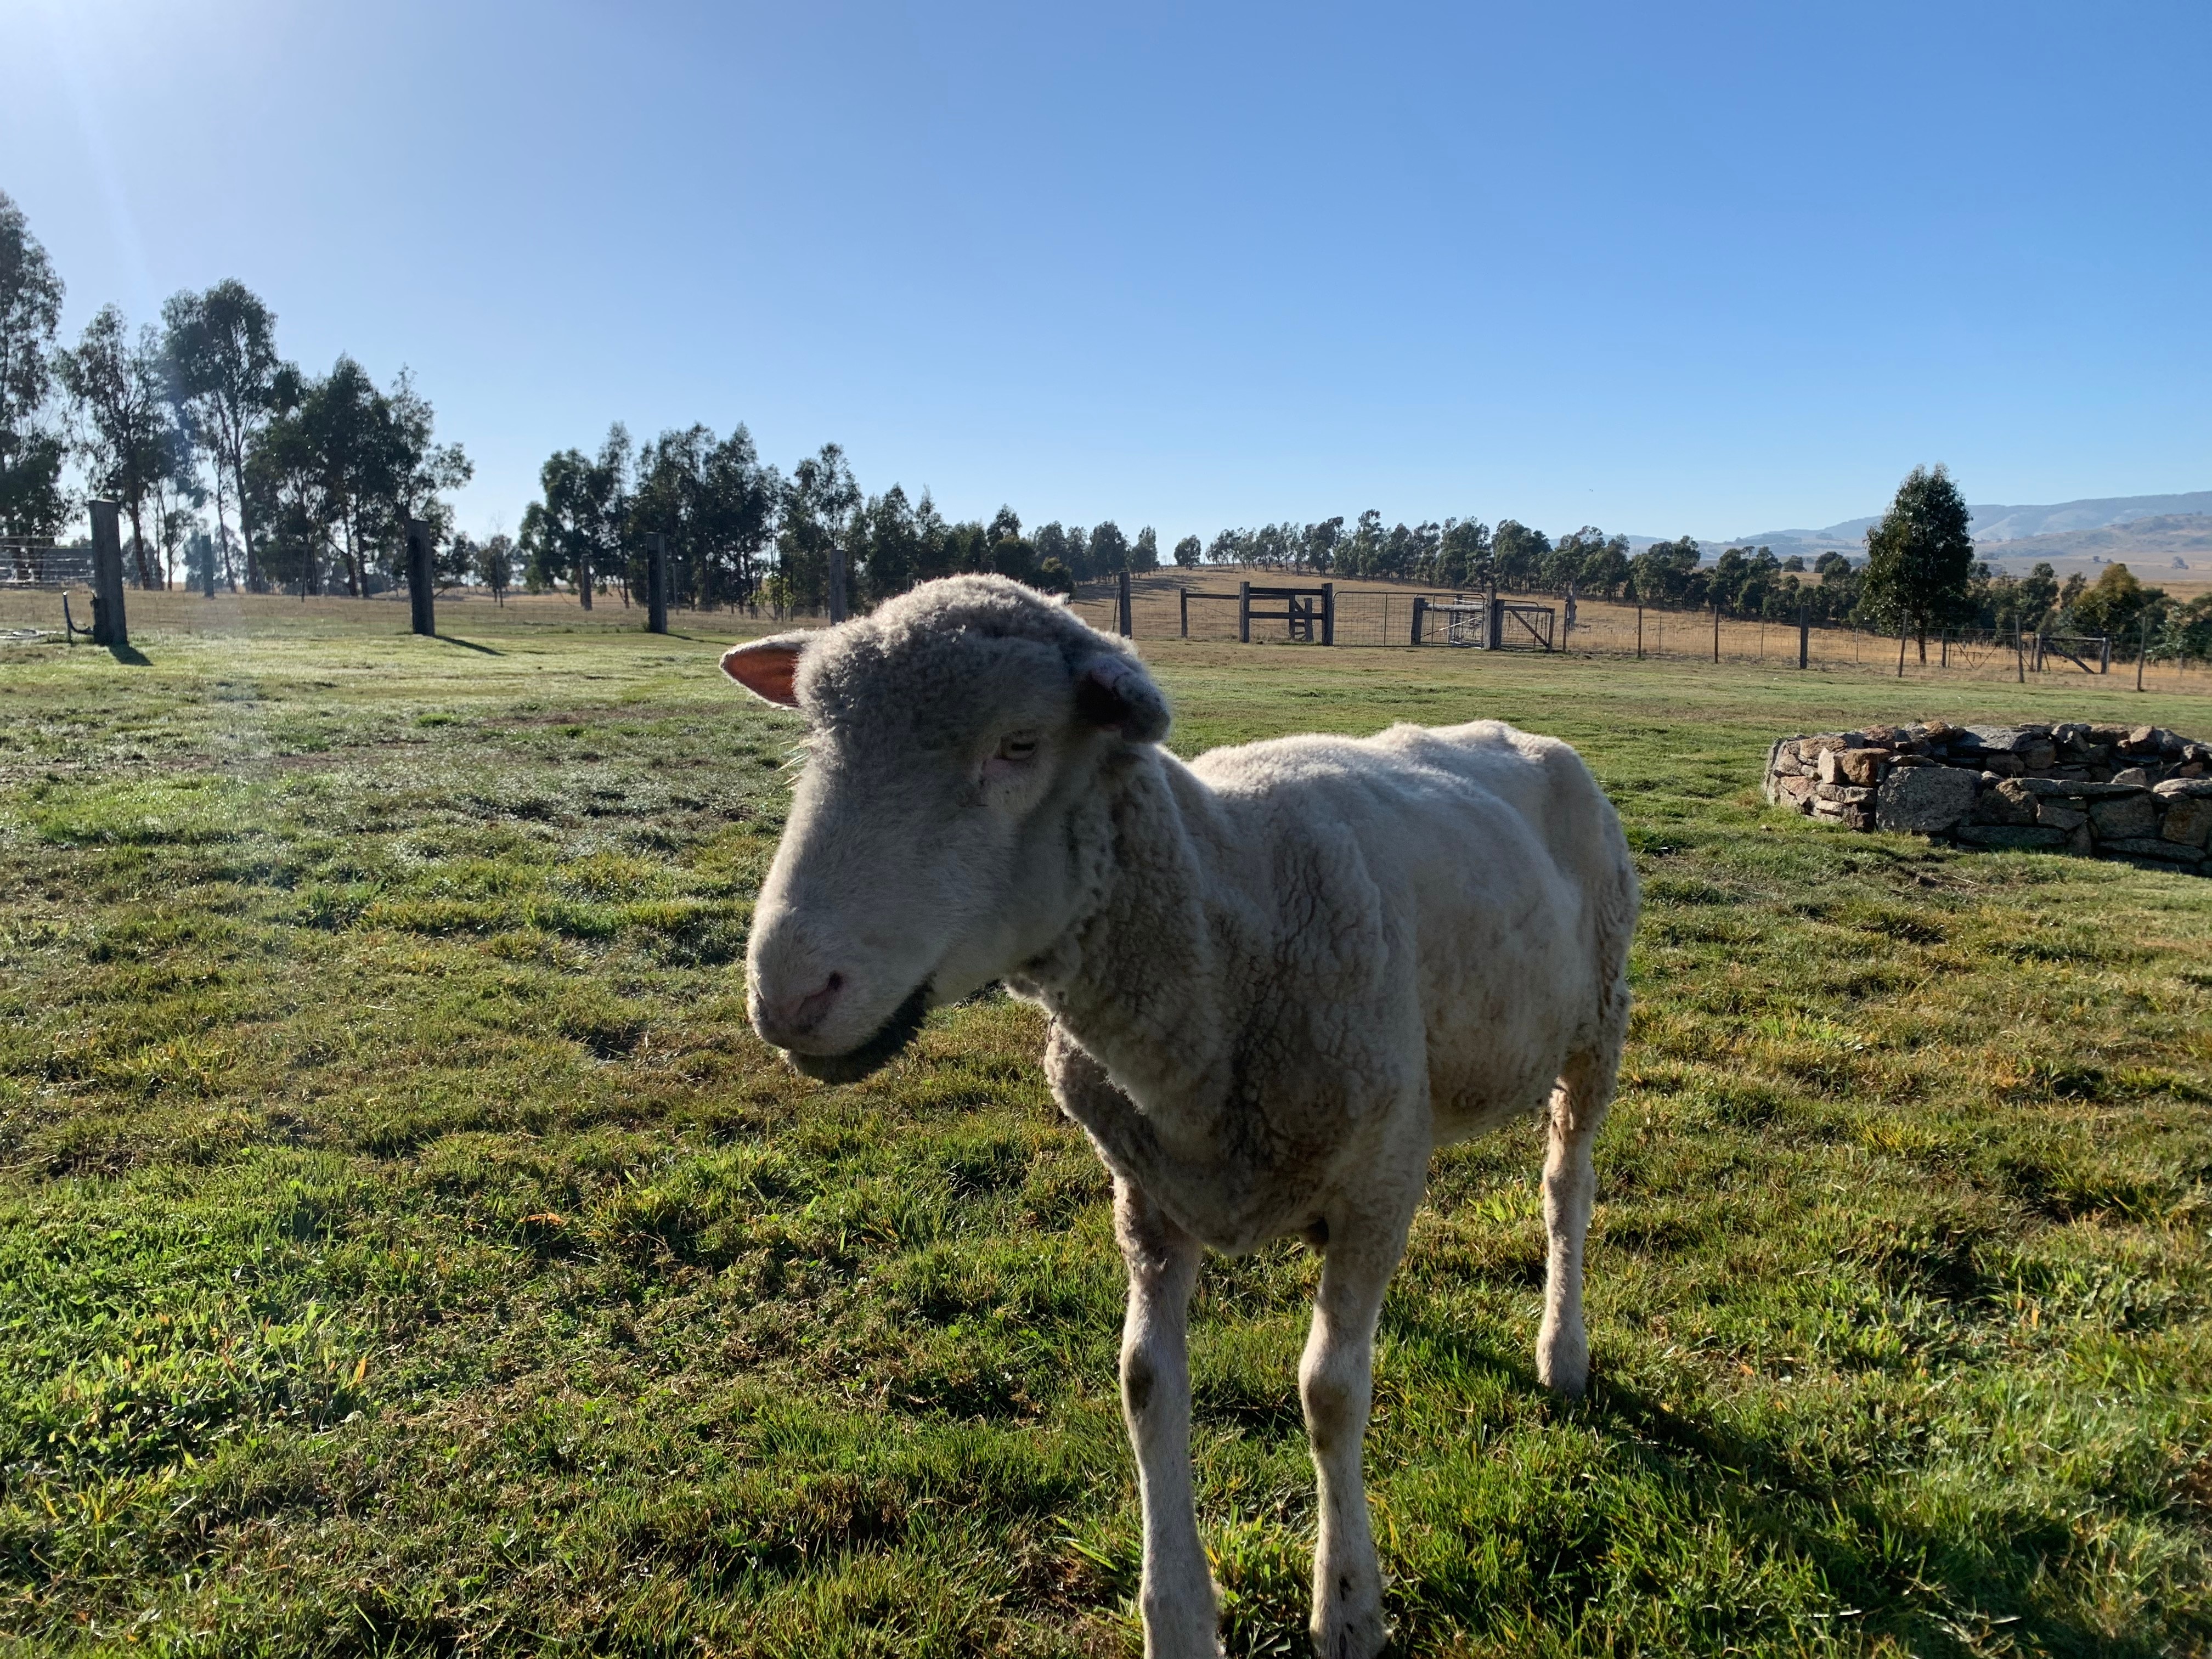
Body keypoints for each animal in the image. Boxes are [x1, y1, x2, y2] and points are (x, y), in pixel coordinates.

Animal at [722, 574, 1639, 1659]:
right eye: (816, 742)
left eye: (1019, 744)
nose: (788, 994)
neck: (1221, 911)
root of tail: (1523, 731)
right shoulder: (1153, 1192)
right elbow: (1144, 1381)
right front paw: (1178, 1613)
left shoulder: (1374, 1181)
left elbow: (1330, 1392)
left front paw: (1347, 1600)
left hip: (1596, 1023)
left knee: (1565, 1188)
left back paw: (1561, 1349)